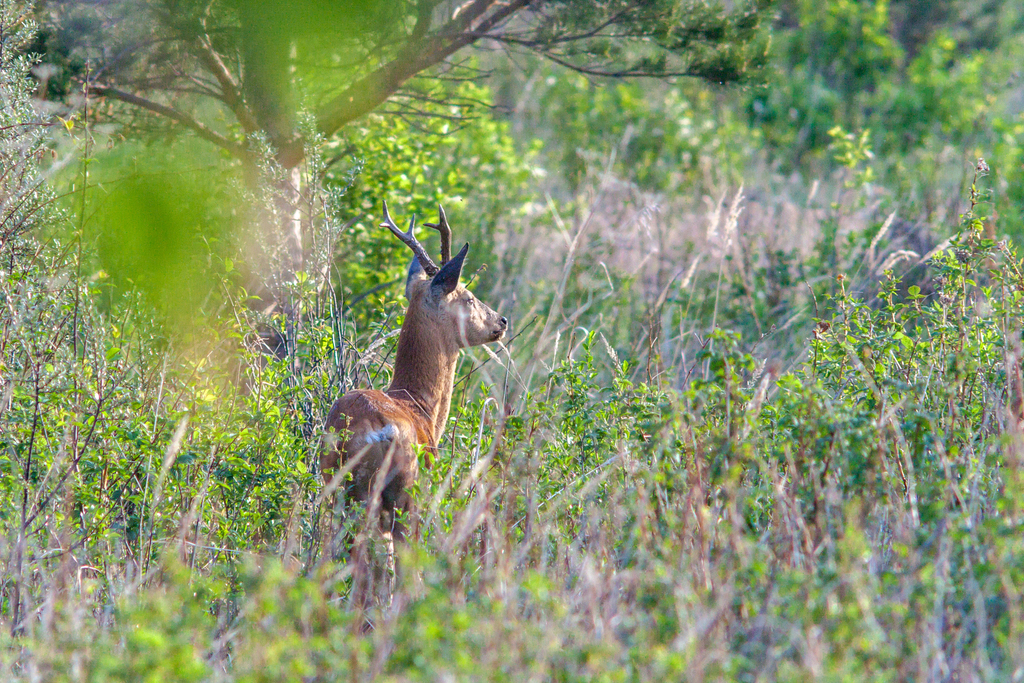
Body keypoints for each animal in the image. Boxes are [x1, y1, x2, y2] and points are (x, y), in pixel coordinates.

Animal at [321, 201, 507, 549]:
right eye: (468, 296)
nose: (501, 321)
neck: (418, 403)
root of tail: (370, 429)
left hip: (337, 490)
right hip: (404, 494)